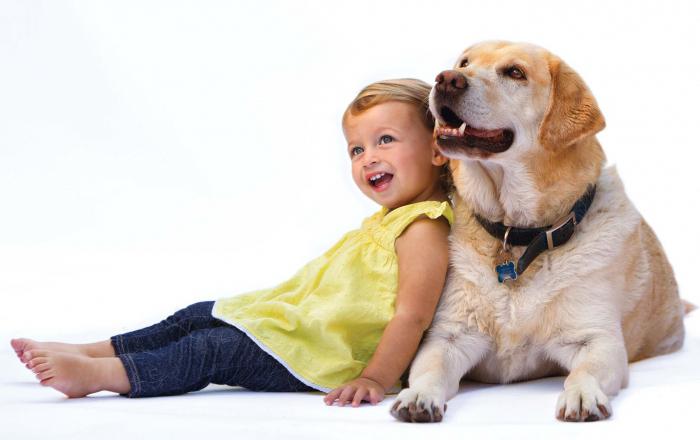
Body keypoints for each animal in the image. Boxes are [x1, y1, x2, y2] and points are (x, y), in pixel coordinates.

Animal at [388, 41, 688, 422]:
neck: (518, 233)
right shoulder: (449, 335)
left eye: (515, 72)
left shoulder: (596, 339)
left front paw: (581, 396)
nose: (446, 79)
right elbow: (430, 369)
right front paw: (418, 396)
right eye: (465, 63)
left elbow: (585, 371)